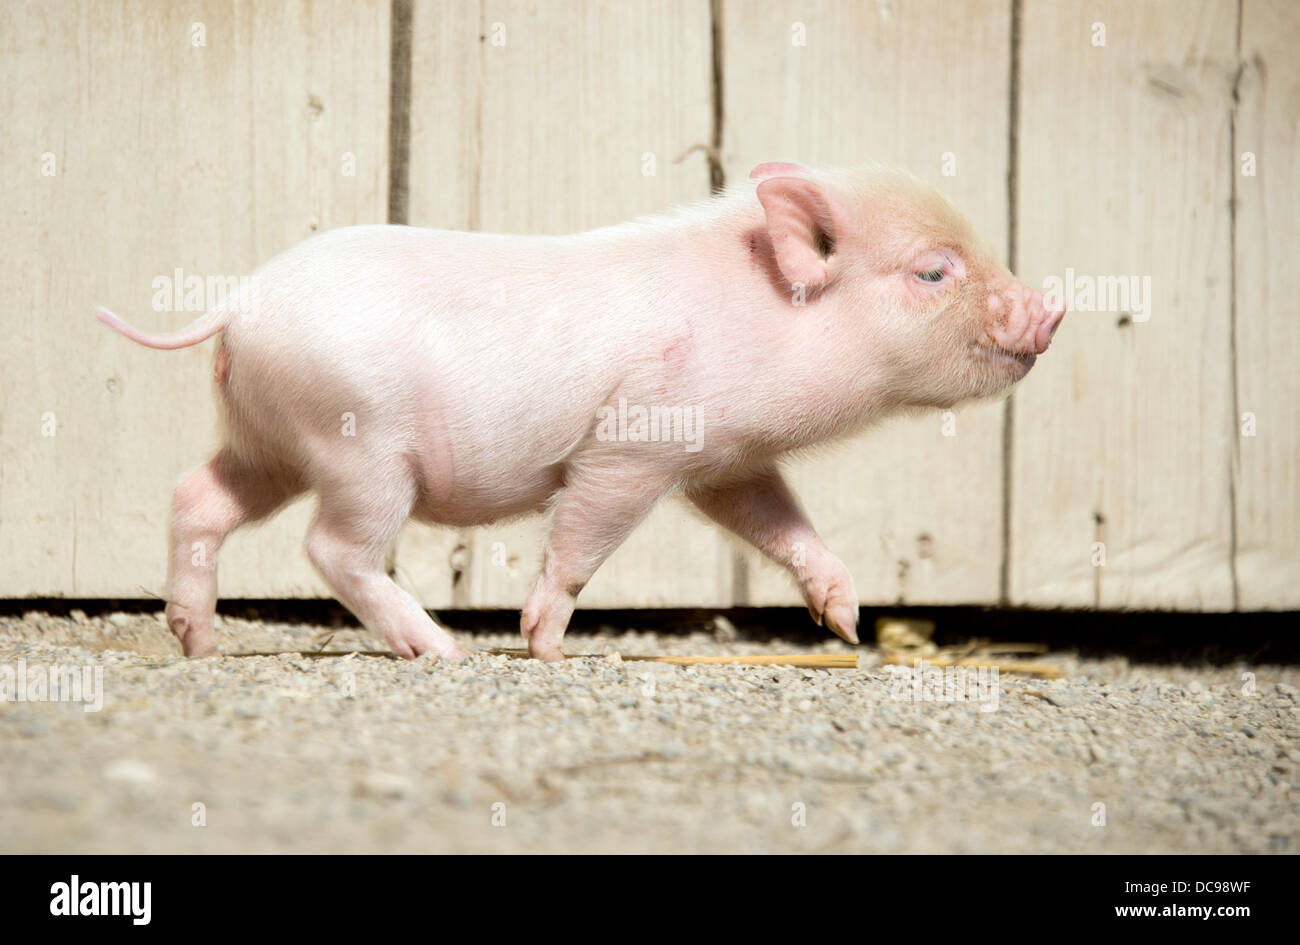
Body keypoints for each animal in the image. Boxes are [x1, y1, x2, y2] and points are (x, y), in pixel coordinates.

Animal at [96, 162, 1064, 662]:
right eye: (932, 271)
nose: (1050, 306)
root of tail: (238, 304)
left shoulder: (723, 461)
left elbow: (783, 523)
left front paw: (847, 617)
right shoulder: (631, 446)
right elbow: (581, 539)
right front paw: (545, 645)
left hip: (269, 443)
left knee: (196, 497)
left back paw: (196, 642)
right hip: (359, 451)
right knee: (333, 549)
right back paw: (444, 650)